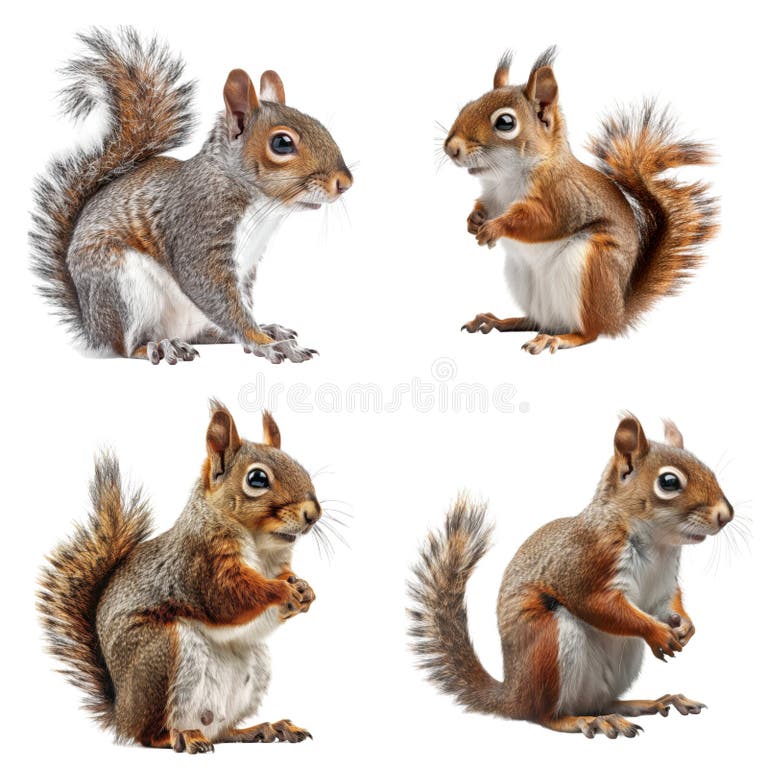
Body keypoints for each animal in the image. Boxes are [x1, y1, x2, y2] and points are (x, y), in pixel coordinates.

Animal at [30, 28, 352, 365]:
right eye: (282, 143)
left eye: (319, 124)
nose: (345, 182)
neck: (259, 204)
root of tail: (93, 327)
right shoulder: (196, 226)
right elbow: (211, 291)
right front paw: (265, 343)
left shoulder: (246, 267)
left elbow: (239, 306)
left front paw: (266, 335)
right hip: (121, 287)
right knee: (126, 347)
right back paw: (159, 346)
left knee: (205, 333)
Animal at [38, 401, 323, 752]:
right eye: (257, 479)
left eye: (300, 466)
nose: (313, 514)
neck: (260, 545)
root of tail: (122, 715)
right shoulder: (198, 566)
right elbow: (229, 599)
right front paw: (280, 591)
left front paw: (305, 590)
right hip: (159, 654)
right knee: (150, 735)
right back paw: (183, 737)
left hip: (253, 666)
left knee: (222, 731)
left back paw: (264, 728)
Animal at [408, 414, 734, 738]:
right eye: (669, 482)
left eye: (708, 469)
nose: (725, 516)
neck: (658, 543)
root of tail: (514, 694)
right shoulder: (586, 563)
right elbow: (600, 606)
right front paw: (657, 632)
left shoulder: (664, 583)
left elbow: (665, 604)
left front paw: (686, 624)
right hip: (551, 644)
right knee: (545, 714)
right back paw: (586, 721)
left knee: (601, 702)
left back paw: (648, 703)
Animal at [443, 48, 718, 354]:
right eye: (467, 106)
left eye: (505, 122)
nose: (451, 148)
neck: (505, 179)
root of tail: (617, 314)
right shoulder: (493, 197)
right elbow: (484, 207)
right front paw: (474, 220)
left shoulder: (564, 198)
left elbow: (540, 222)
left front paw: (495, 227)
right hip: (522, 278)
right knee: (537, 320)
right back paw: (500, 321)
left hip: (589, 269)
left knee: (589, 331)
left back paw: (557, 338)